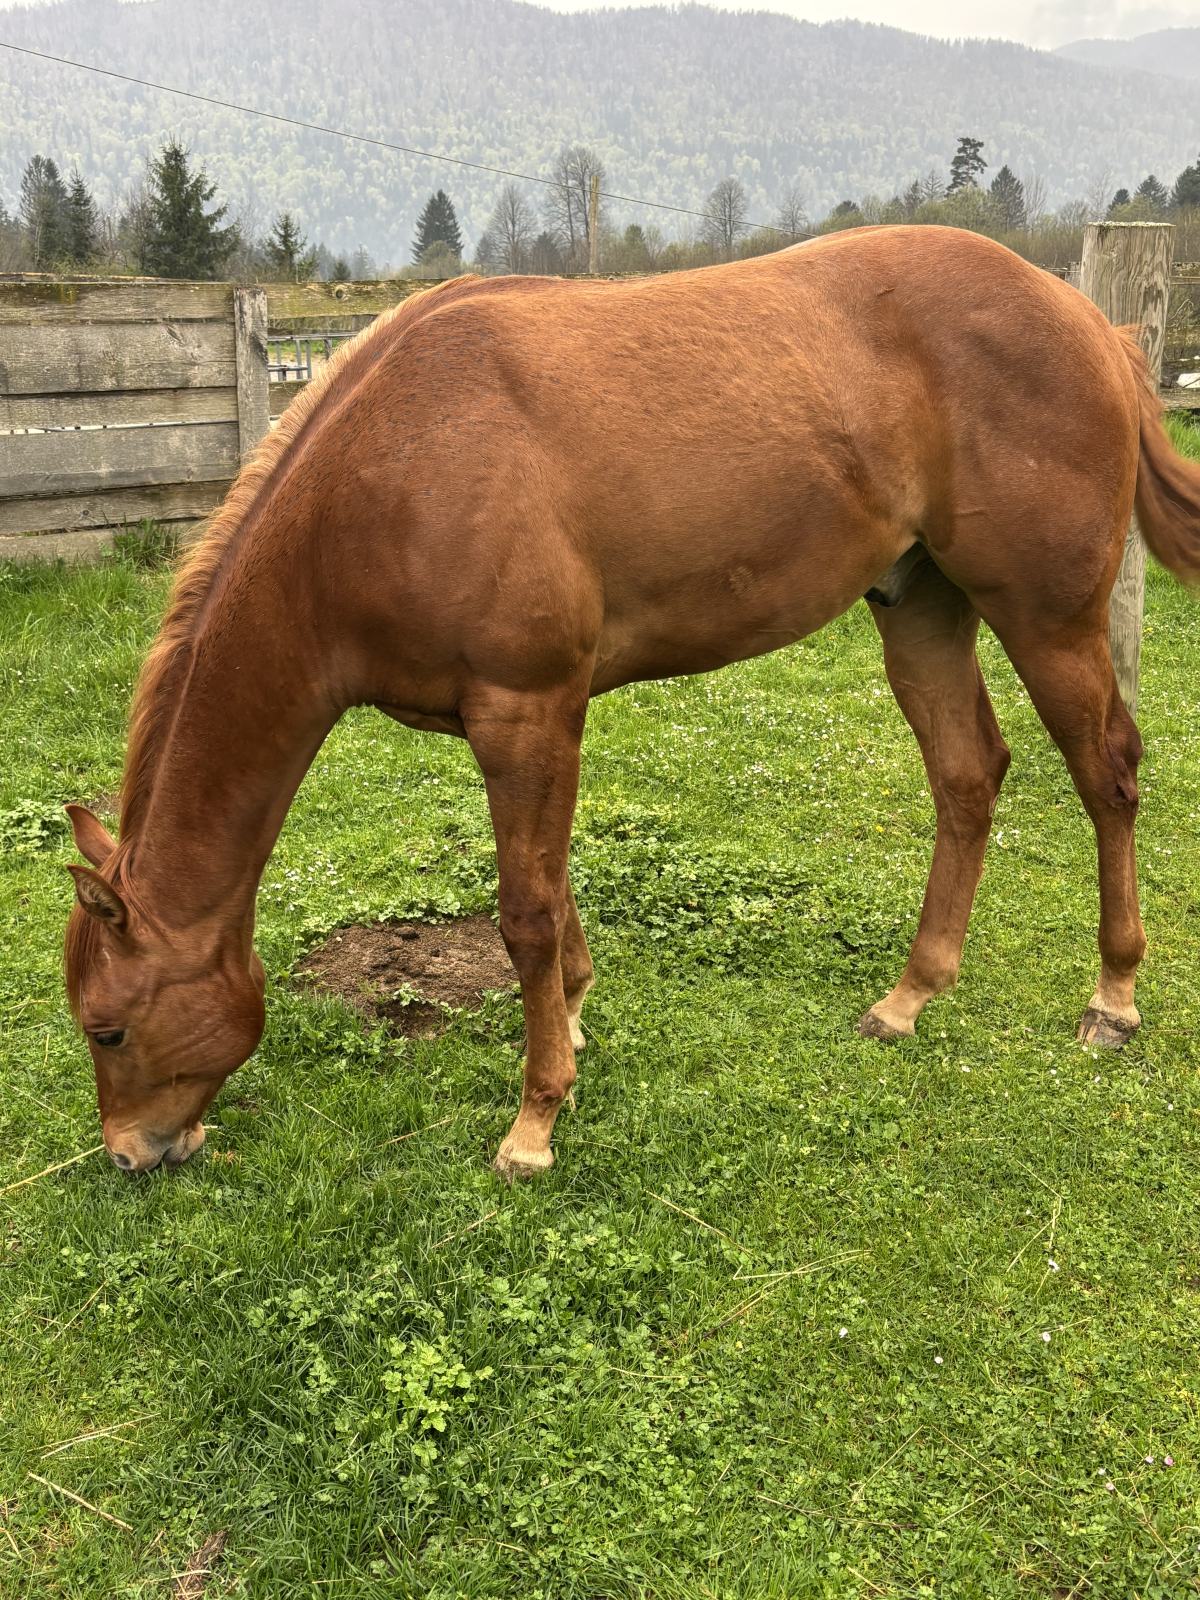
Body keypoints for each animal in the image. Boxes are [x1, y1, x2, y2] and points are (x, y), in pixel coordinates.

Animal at [63, 225, 1200, 1180]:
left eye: (107, 1027)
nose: (134, 1154)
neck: (392, 471)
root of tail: (1086, 322)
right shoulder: (535, 723)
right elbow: (557, 887)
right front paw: (571, 1021)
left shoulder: (522, 712)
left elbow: (525, 912)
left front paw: (534, 1118)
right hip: (921, 605)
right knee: (967, 776)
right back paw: (911, 996)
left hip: (1048, 619)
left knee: (1108, 772)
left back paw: (1113, 997)